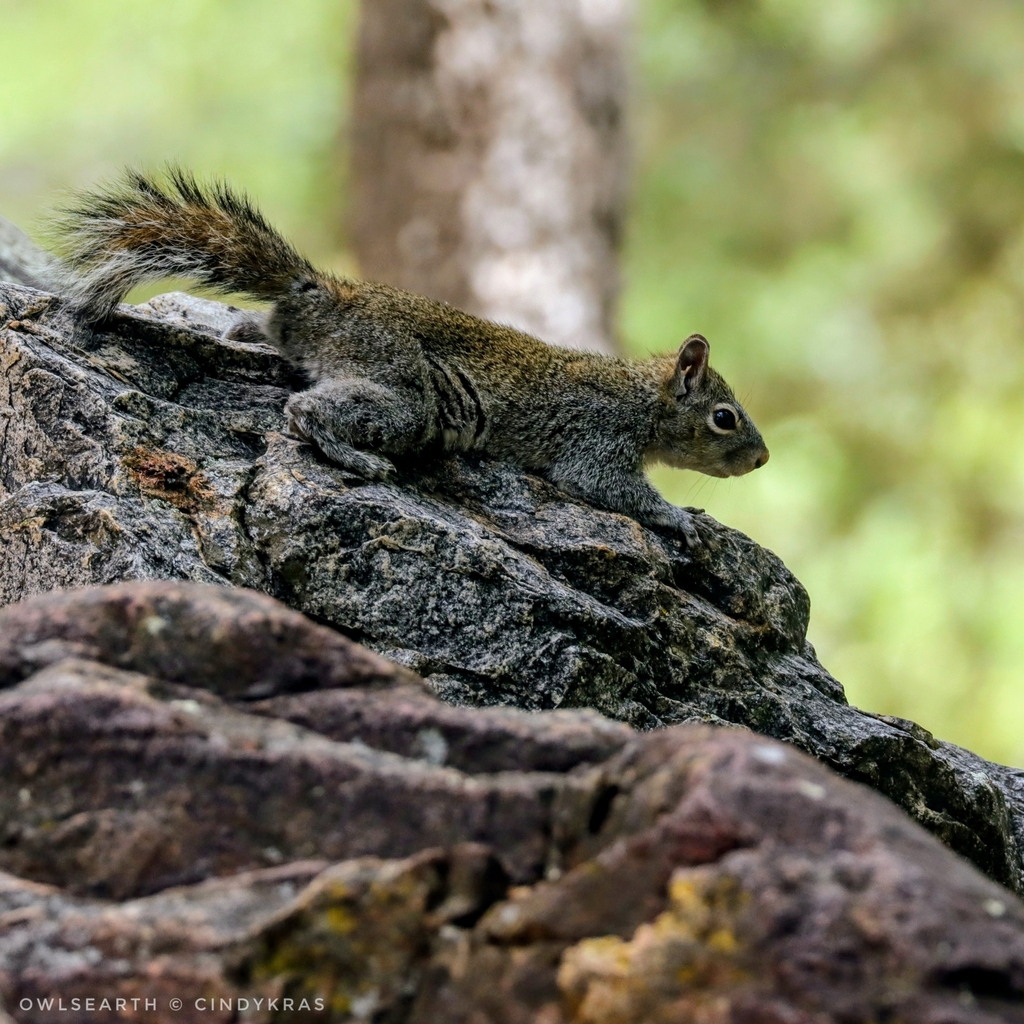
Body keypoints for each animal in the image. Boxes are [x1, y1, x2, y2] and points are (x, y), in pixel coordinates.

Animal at [54, 169, 769, 547]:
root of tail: (324, 296)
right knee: (304, 410)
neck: (642, 399)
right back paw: (355, 457)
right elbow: (607, 486)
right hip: (403, 394)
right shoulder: (598, 439)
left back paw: (243, 329)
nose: (761, 459)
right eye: (724, 418)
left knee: (273, 340)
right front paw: (679, 517)